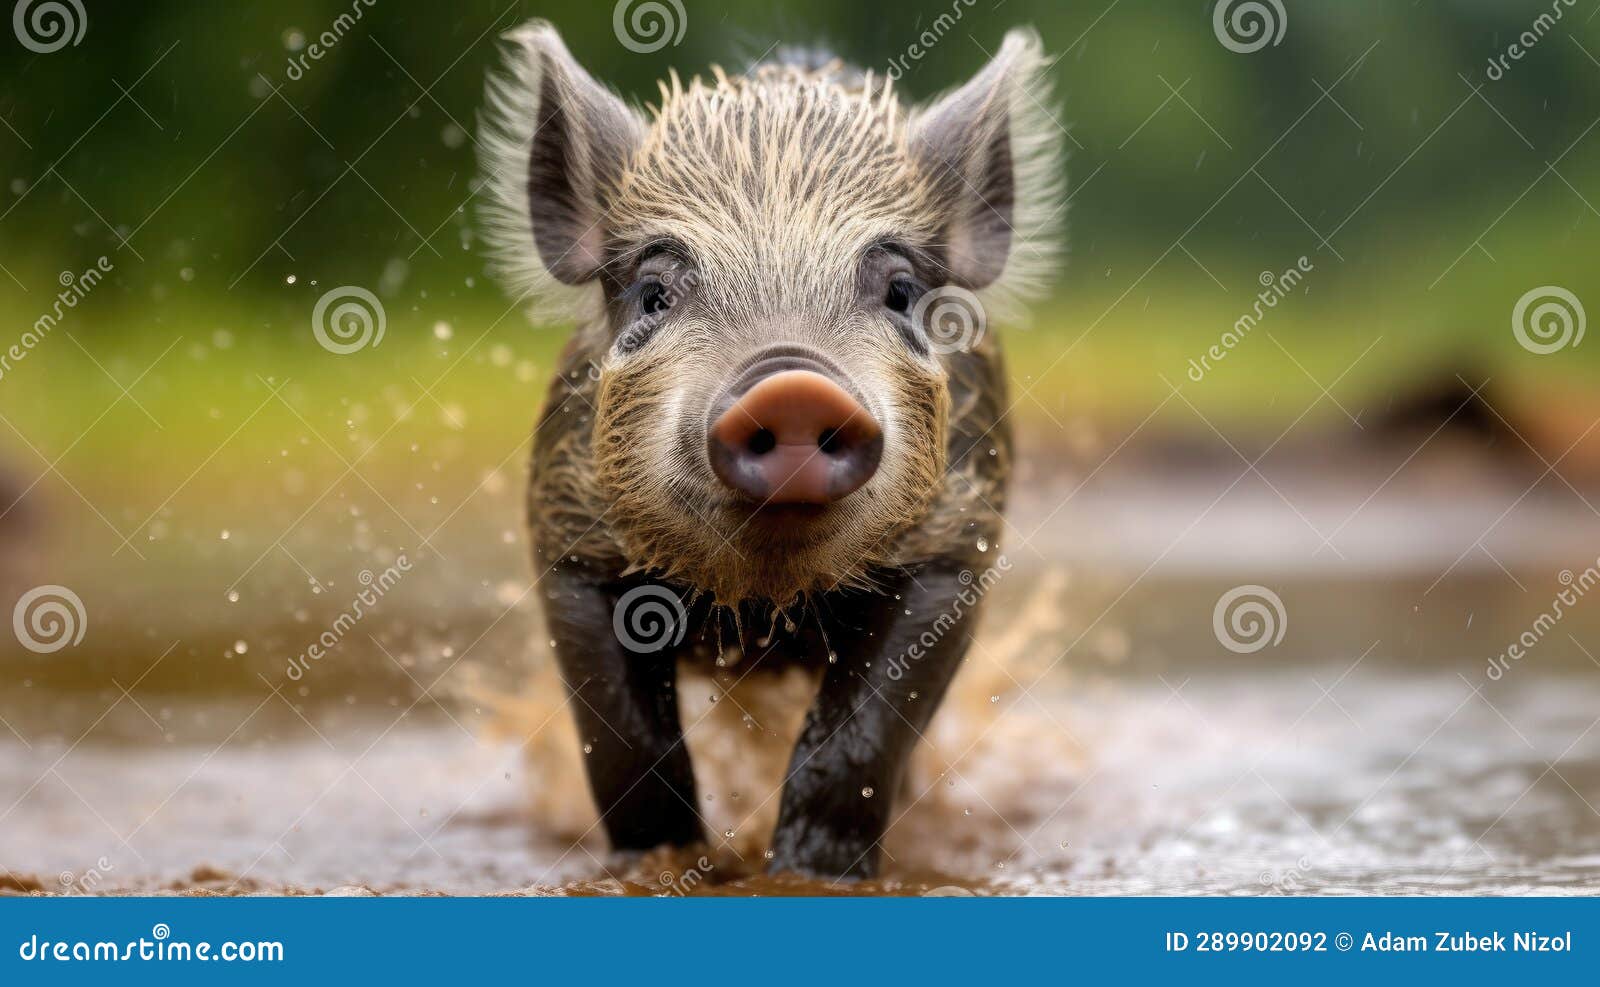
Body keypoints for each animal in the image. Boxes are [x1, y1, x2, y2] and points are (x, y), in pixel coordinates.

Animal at [479, 20, 1063, 879]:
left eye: (898, 291)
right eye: (654, 293)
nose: (792, 385)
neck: (765, 607)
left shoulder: (957, 546)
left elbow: (860, 737)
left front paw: (808, 871)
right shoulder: (568, 539)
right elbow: (627, 746)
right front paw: (665, 864)